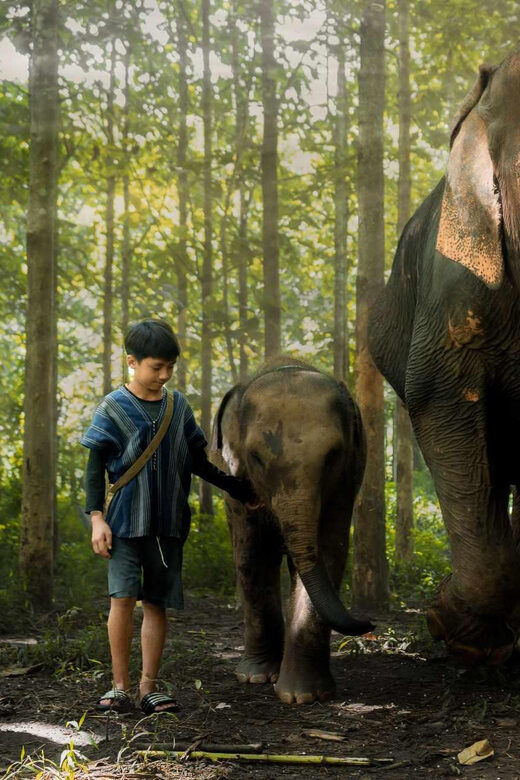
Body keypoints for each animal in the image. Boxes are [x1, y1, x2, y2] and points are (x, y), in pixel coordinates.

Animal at [210, 356, 373, 704]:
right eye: (256, 457)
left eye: (332, 456)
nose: (368, 622)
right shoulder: (235, 480)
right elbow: (252, 554)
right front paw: (256, 677)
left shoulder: (346, 480)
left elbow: (329, 549)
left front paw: (303, 695)